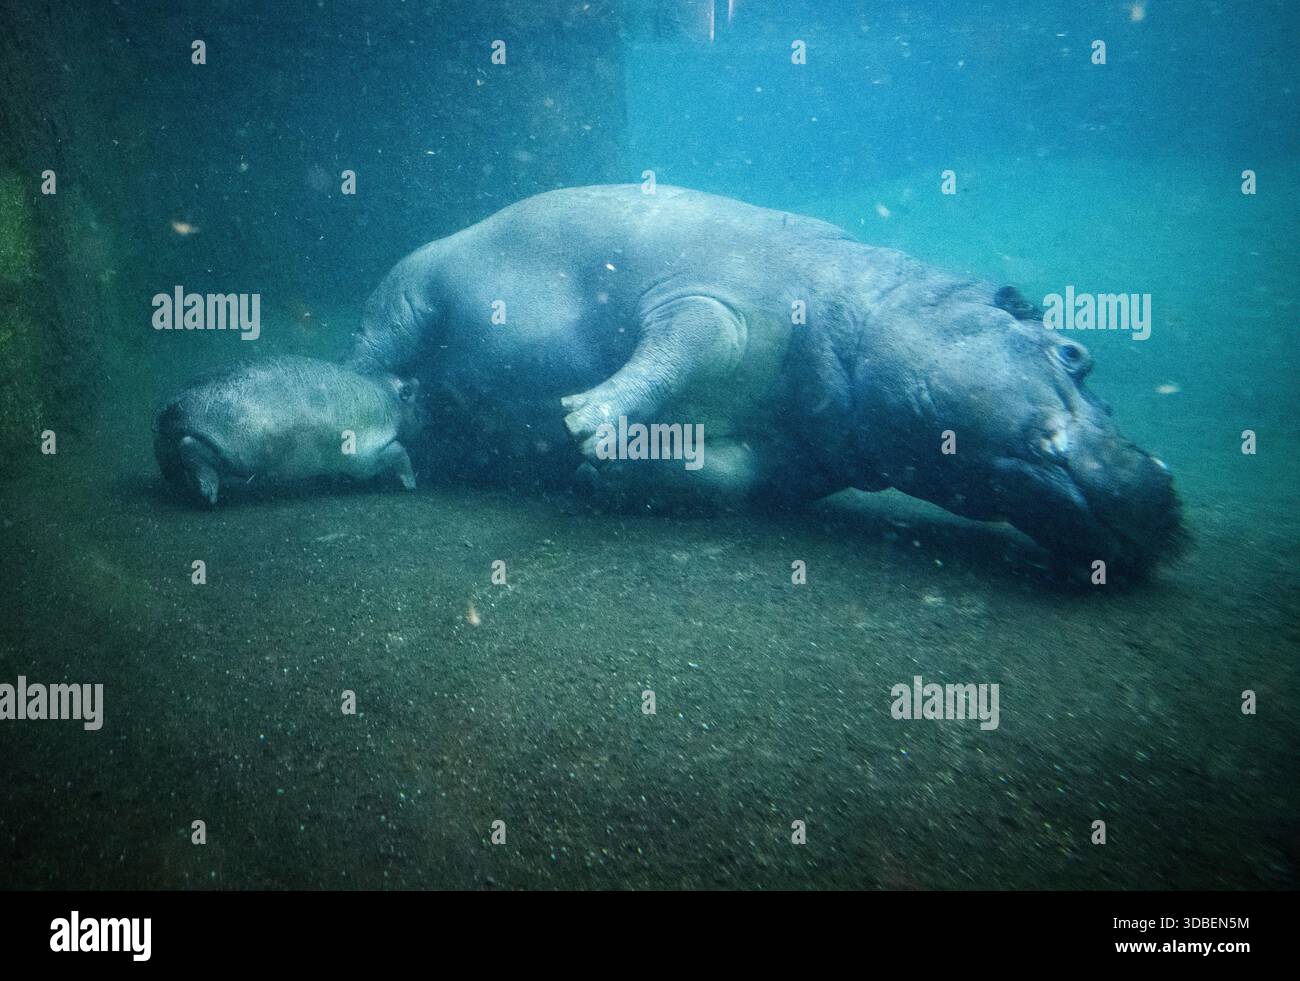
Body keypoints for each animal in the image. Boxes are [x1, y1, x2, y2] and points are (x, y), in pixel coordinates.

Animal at [154, 355, 420, 505]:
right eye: (414, 386)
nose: (419, 380)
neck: (389, 395)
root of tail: (171, 403)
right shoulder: (368, 458)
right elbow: (400, 452)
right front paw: (411, 485)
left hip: (169, 447)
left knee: (175, 461)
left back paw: (186, 488)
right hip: (241, 454)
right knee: (191, 448)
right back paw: (208, 494)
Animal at [346, 184, 1182, 574]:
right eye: (1074, 353)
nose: (1167, 479)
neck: (870, 310)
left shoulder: (788, 457)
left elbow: (718, 480)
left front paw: (599, 470)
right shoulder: (712, 306)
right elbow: (665, 356)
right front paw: (587, 418)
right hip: (409, 295)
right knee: (370, 356)